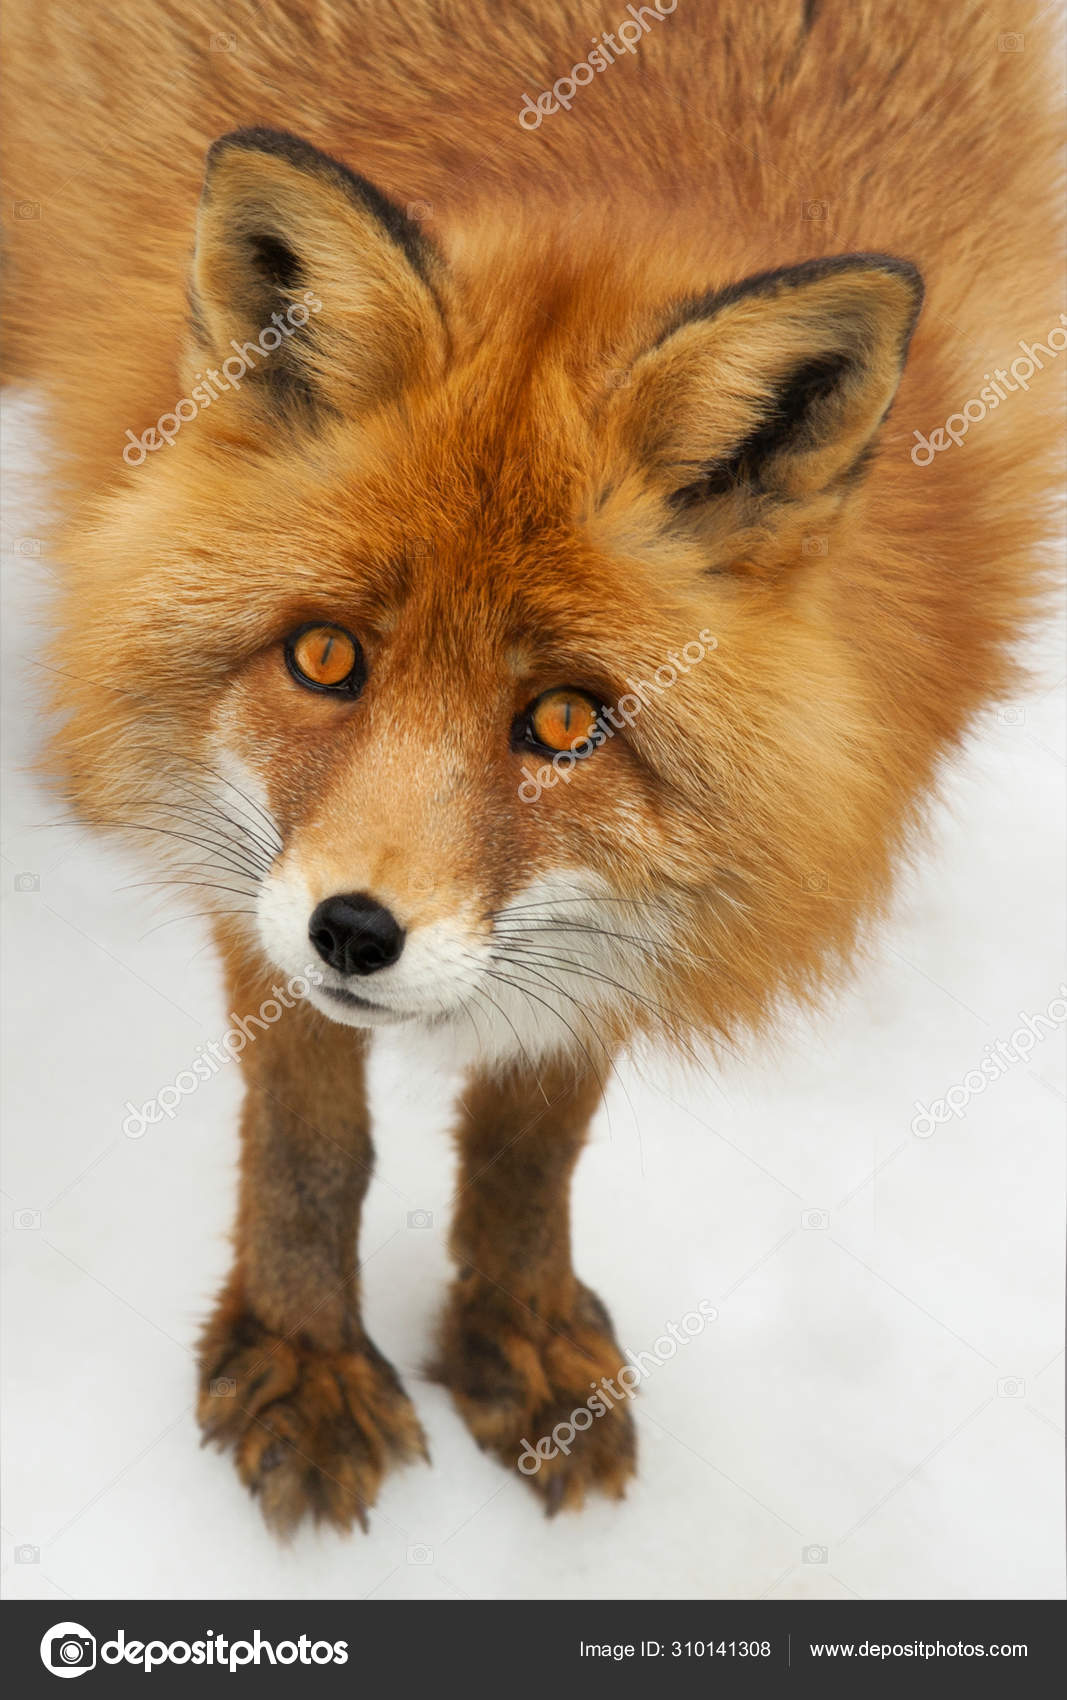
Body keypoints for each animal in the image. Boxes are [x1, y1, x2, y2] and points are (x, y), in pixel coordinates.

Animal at [2, 0, 1062, 1536]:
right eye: (324, 657)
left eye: (563, 723)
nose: (354, 933)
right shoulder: (251, 854)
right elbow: (310, 1128)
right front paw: (300, 1355)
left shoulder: (655, 891)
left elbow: (536, 1128)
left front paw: (511, 1331)